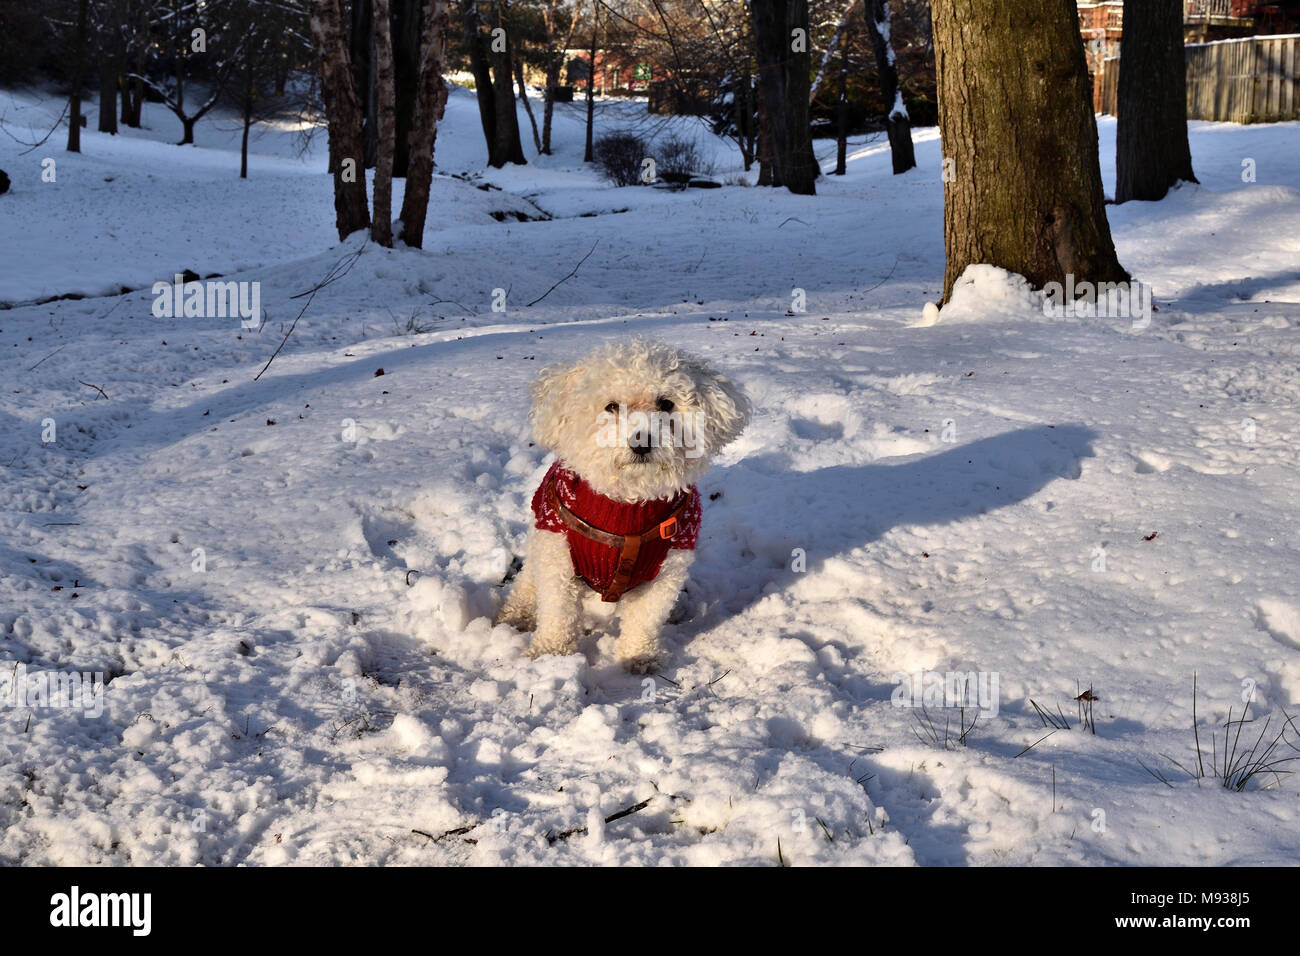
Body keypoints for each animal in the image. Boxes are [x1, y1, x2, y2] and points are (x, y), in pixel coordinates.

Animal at [501, 340, 759, 671]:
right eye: (611, 406)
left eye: (666, 403)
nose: (641, 441)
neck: (628, 503)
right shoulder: (557, 558)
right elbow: (558, 614)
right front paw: (550, 656)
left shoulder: (666, 571)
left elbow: (645, 621)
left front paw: (640, 657)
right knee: (526, 585)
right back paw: (516, 615)